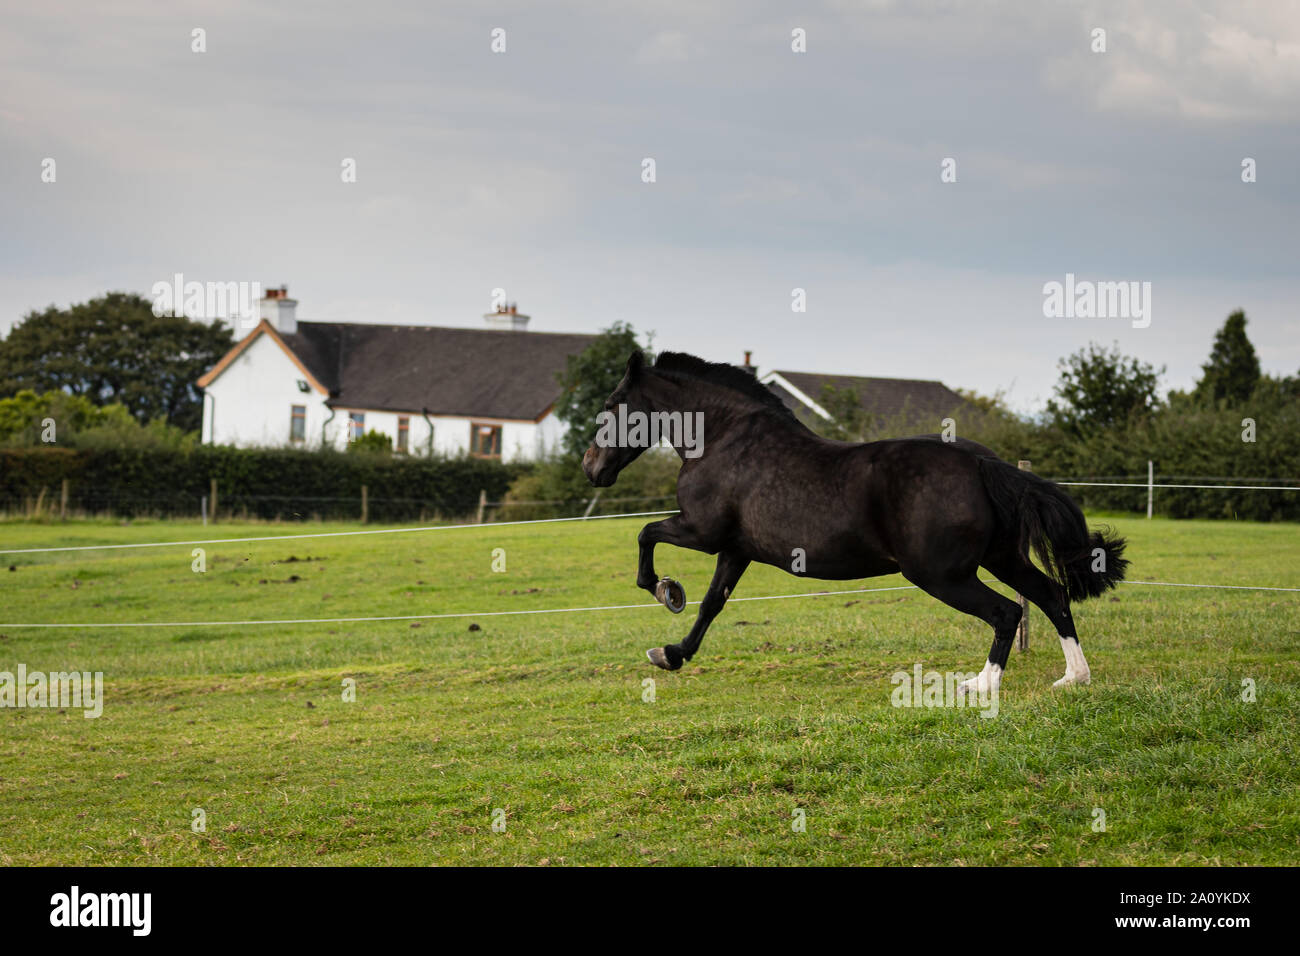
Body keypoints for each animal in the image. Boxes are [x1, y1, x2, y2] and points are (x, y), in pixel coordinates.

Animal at [581, 350, 1128, 697]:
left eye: (611, 406)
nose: (591, 467)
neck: (723, 439)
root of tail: (981, 463)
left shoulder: (702, 531)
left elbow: (646, 535)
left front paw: (665, 590)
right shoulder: (736, 549)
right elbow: (713, 605)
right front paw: (672, 653)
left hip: (941, 575)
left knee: (1006, 613)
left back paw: (981, 684)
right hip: (1001, 558)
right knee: (1052, 596)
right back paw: (1073, 678)